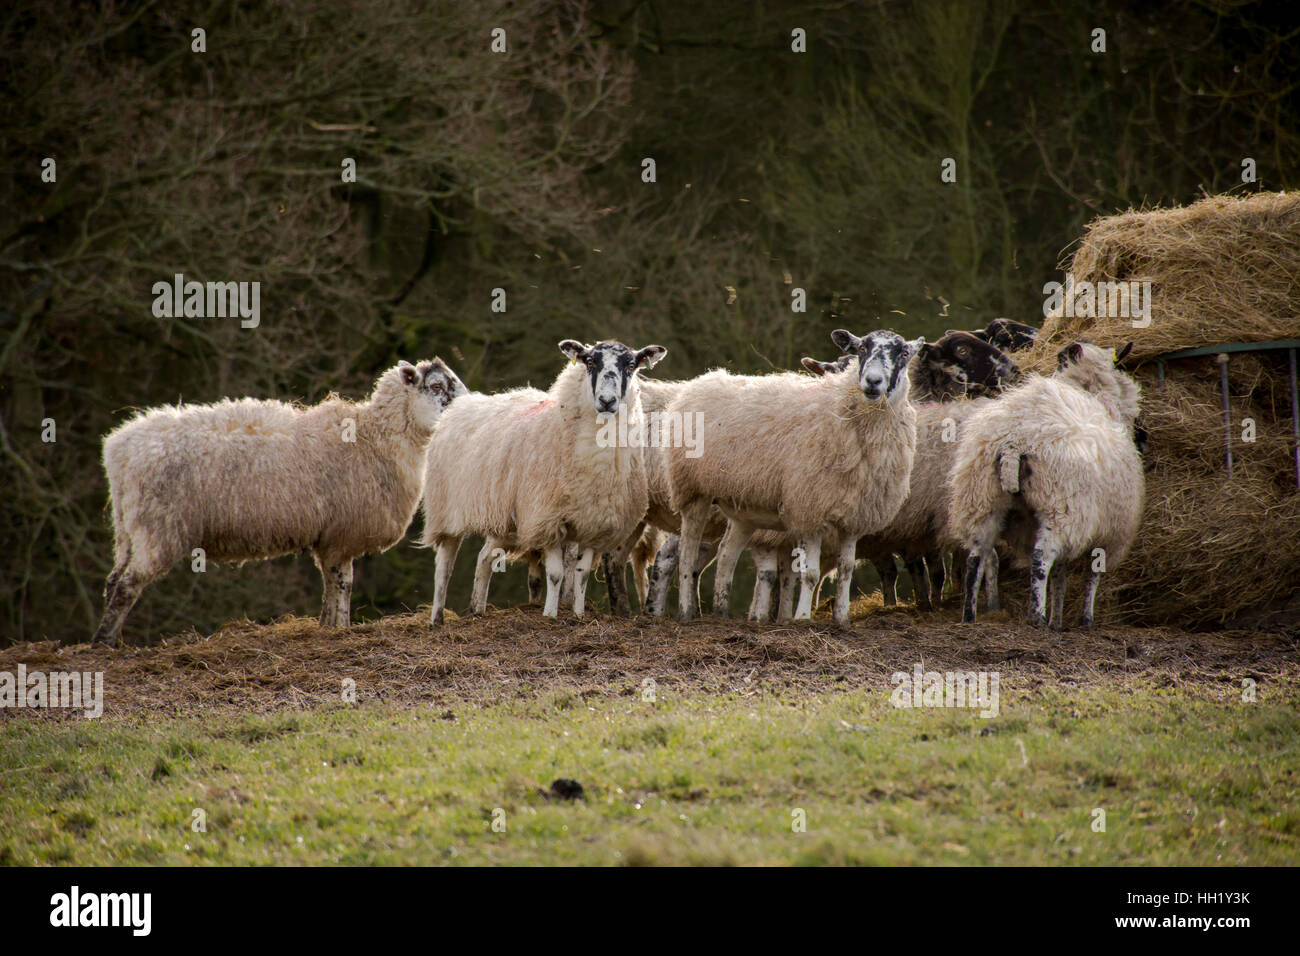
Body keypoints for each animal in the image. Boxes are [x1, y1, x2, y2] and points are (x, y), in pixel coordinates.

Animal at [91, 359, 468, 644]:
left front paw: (328, 626)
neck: (375, 437)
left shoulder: (330, 537)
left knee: (112, 580)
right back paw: (105, 643)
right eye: (436, 387)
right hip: (159, 528)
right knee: (127, 585)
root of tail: (119, 449)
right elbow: (343, 583)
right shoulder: (340, 536)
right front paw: (339, 628)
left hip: (128, 529)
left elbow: (333, 585)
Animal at [420, 339, 666, 622]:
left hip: (505, 520)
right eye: (590, 361)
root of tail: (458, 407)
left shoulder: (595, 524)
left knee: (484, 558)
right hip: (445, 509)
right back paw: (437, 619)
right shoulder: (547, 518)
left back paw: (478, 610)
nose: (607, 401)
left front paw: (578, 615)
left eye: (632, 365)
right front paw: (550, 615)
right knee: (444, 567)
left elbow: (581, 575)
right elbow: (556, 574)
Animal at [666, 329, 923, 625]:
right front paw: (801, 618)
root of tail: (699, 382)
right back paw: (685, 611)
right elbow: (809, 573)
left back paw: (721, 612)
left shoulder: (854, 516)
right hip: (692, 489)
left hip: (743, 508)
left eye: (904, 353)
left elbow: (846, 569)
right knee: (687, 552)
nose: (873, 381)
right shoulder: (809, 508)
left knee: (727, 554)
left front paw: (842, 619)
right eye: (861, 349)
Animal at [948, 341, 1143, 629]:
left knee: (976, 556)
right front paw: (1084, 619)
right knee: (1041, 558)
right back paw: (1036, 616)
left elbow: (1060, 576)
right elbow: (1091, 574)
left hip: (982, 499)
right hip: (1060, 506)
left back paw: (969, 615)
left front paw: (1057, 620)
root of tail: (1013, 441)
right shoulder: (1108, 530)